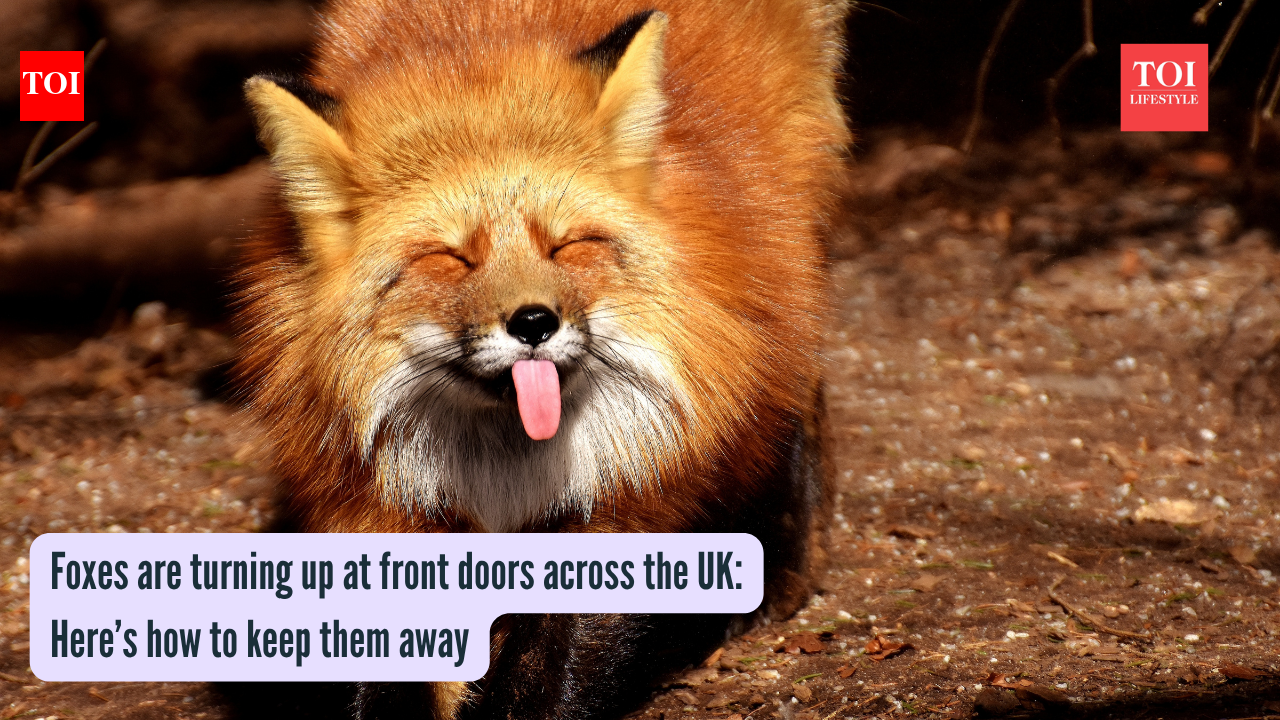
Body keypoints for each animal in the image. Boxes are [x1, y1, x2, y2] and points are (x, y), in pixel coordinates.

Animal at [236, 0, 850, 717]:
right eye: (451, 257)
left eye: (566, 245)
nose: (533, 322)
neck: (505, 471)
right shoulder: (377, 501)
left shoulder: (625, 487)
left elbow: (553, 669)